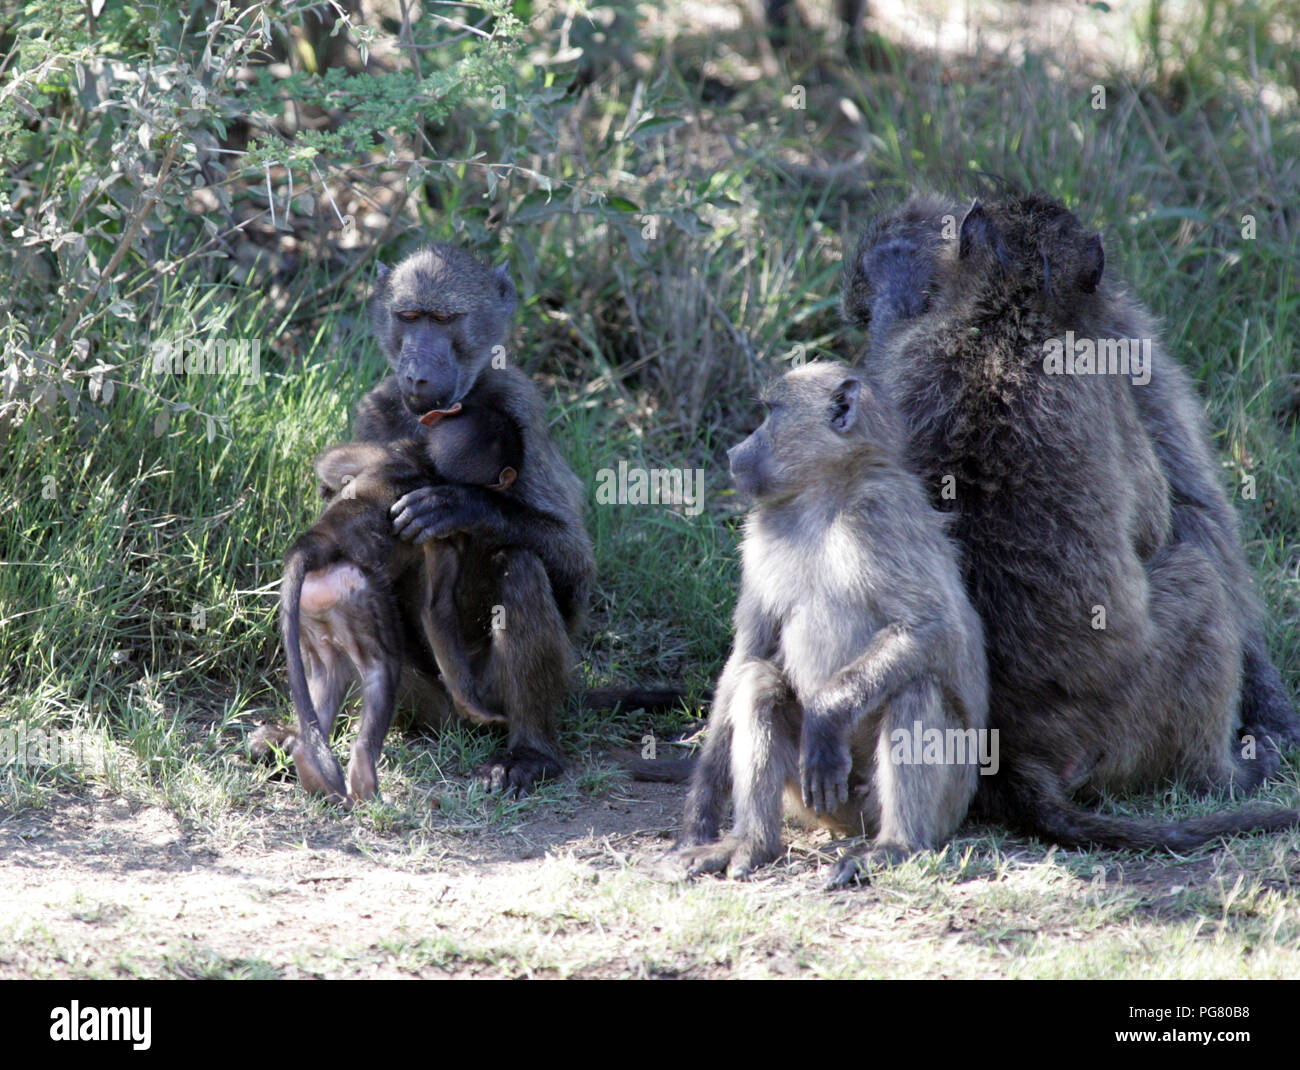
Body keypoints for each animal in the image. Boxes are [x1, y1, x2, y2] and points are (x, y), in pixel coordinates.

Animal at [260, 403, 524, 804]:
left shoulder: (388, 454)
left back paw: (309, 762)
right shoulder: (446, 531)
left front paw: (327, 485)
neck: (430, 467)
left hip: (311, 612)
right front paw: (475, 708)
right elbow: (437, 607)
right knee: (380, 669)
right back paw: (364, 778)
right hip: (359, 597)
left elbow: (334, 461)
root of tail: (318, 542)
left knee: (326, 672)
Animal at [349, 243, 596, 796]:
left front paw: (460, 505)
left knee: (522, 565)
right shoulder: (373, 412)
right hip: (421, 701)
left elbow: (575, 562)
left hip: (490, 693)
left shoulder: (522, 405)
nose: (417, 374)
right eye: (409, 317)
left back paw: (530, 753)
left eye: (444, 319)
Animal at [673, 362, 989, 887]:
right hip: (806, 800)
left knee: (914, 688)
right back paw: (751, 843)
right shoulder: (759, 533)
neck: (822, 498)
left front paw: (825, 715)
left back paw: (893, 848)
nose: (734, 451)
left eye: (769, 412)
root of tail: (849, 823)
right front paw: (700, 812)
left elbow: (931, 626)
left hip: (947, 795)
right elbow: (748, 655)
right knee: (758, 684)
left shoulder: (880, 512)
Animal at [840, 191, 1300, 850]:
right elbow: (1172, 517)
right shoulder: (1116, 362)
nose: (873, 310)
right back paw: (1229, 773)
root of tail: (1010, 757)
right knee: (1200, 578)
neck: (1001, 318)